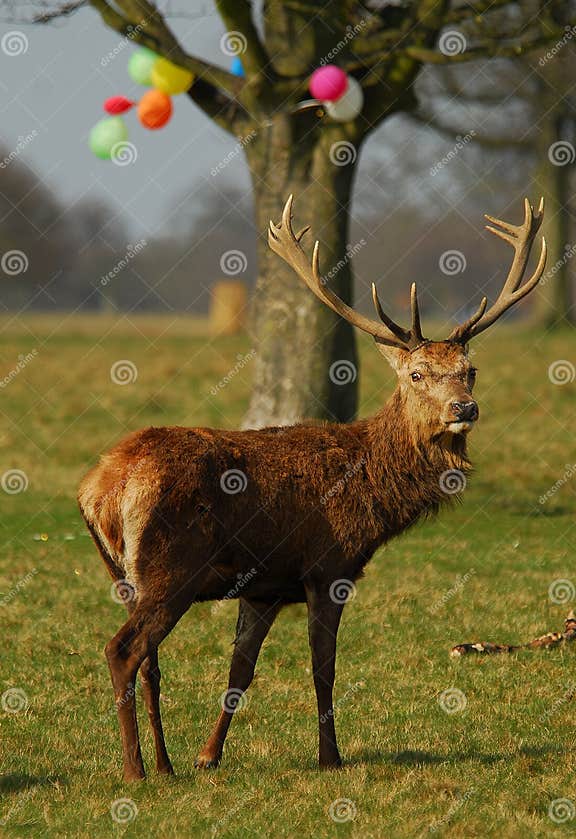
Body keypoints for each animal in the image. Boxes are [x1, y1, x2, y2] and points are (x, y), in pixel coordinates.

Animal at [78, 195, 546, 781]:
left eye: (471, 369)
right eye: (416, 374)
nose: (465, 408)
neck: (372, 492)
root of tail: (102, 488)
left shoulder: (263, 588)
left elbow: (240, 671)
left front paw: (209, 757)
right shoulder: (328, 568)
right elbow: (324, 668)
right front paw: (331, 758)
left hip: (123, 574)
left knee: (149, 663)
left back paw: (164, 764)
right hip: (172, 568)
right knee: (122, 651)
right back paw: (135, 771)